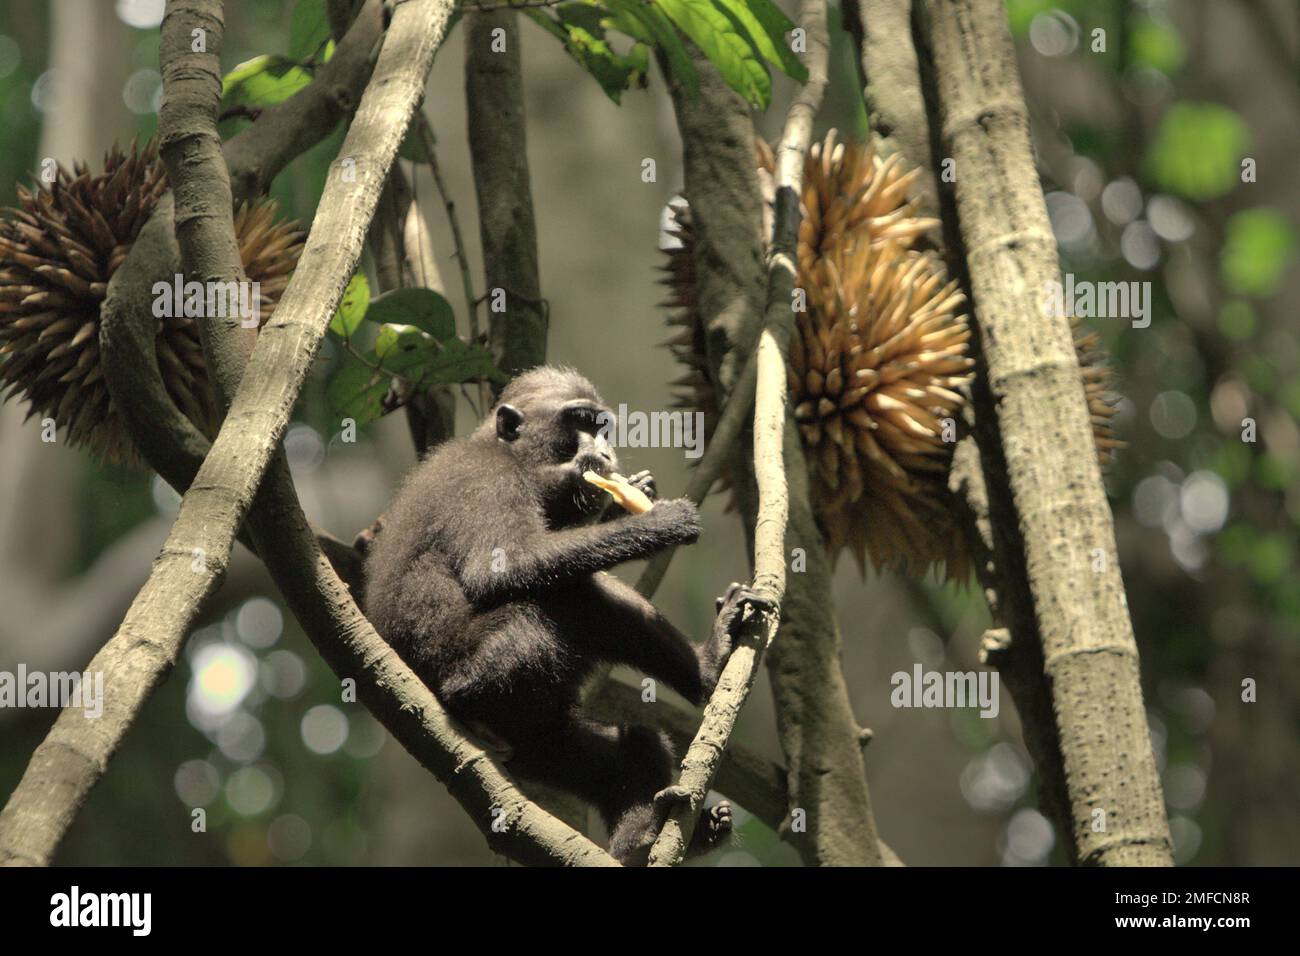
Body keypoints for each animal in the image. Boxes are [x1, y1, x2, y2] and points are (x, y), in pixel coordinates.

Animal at [363, 366, 761, 865]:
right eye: (580, 423)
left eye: (602, 427)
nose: (605, 452)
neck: (509, 454)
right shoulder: (486, 479)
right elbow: (503, 566)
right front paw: (656, 522)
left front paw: (628, 496)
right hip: (458, 660)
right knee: (550, 609)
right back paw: (471, 705)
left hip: (542, 747)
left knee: (621, 741)